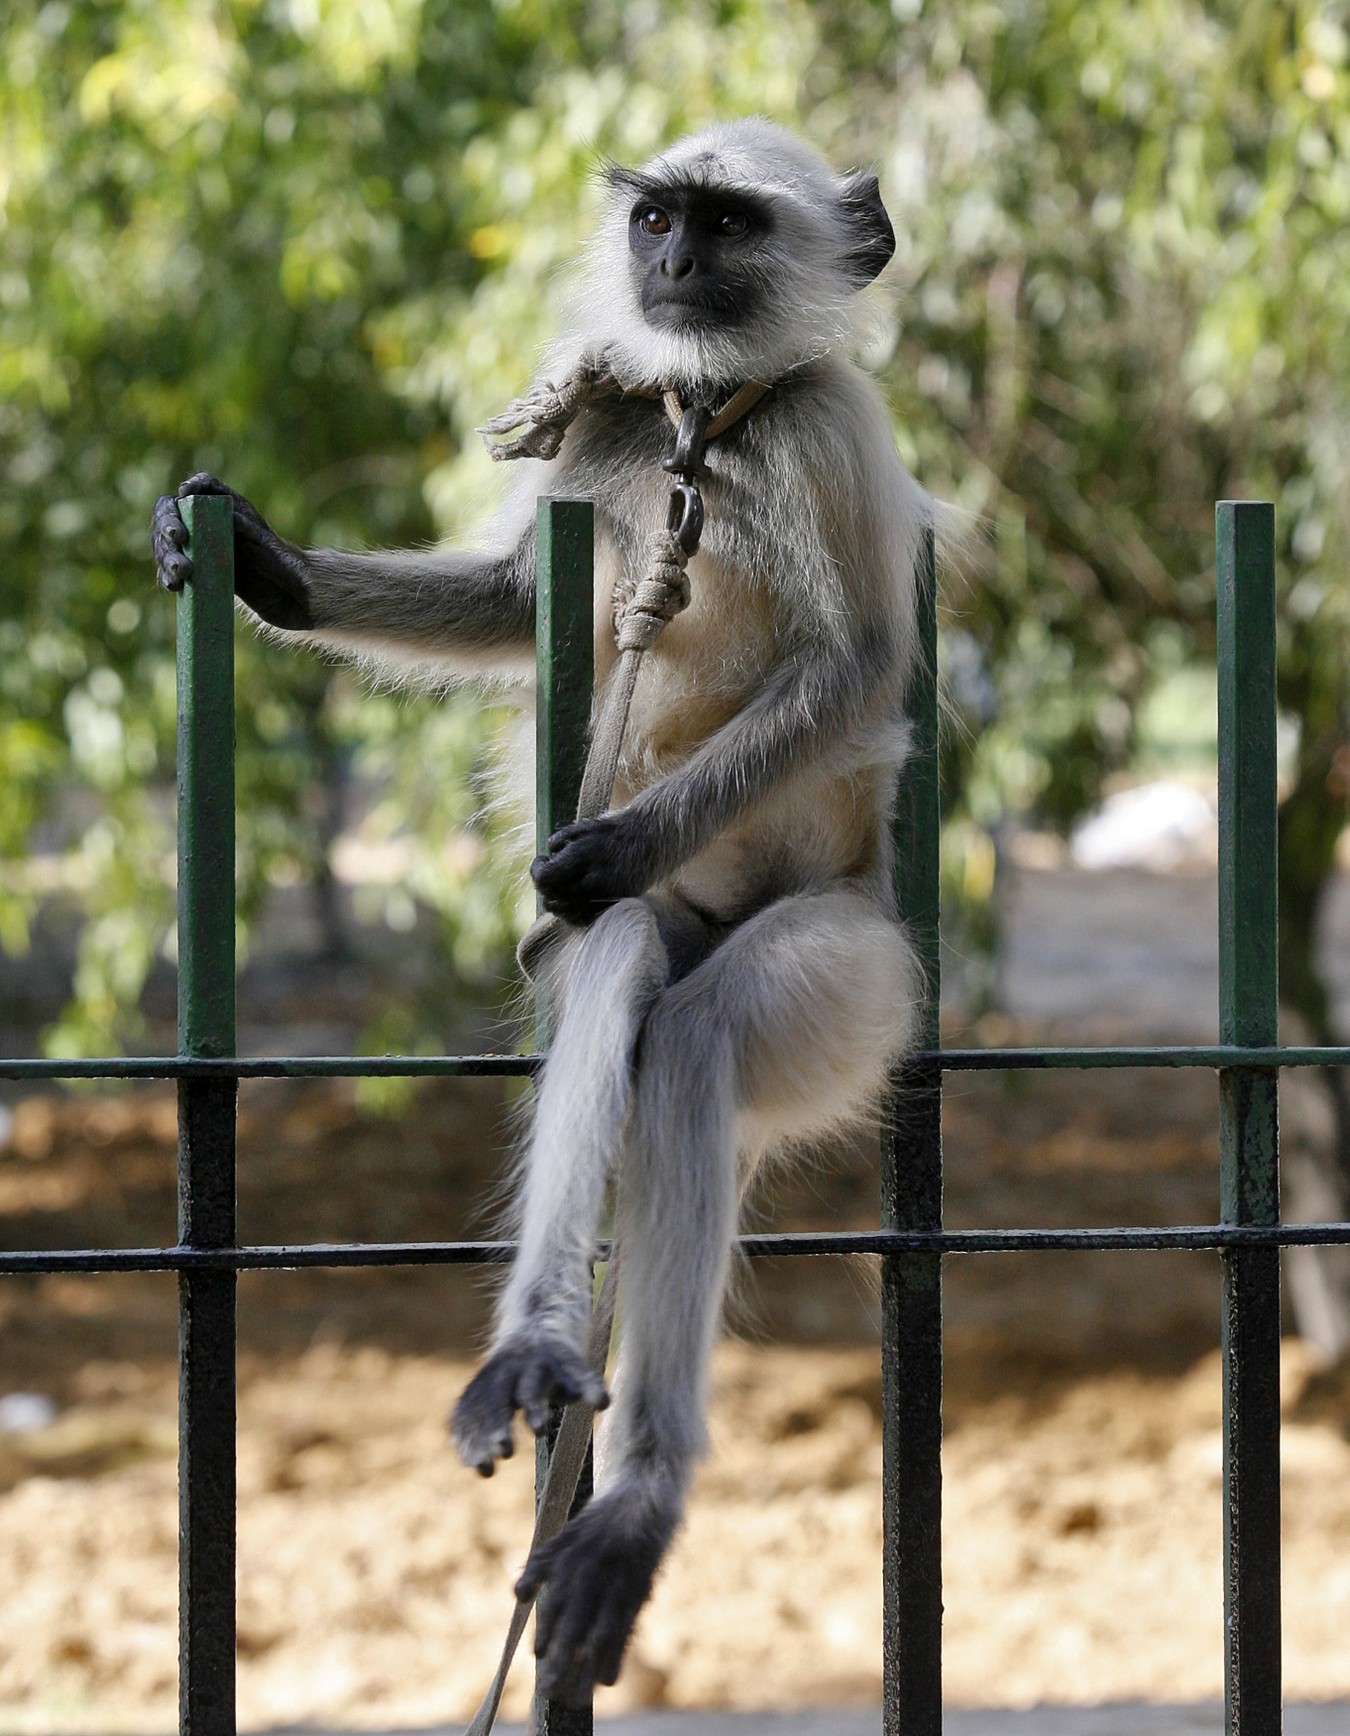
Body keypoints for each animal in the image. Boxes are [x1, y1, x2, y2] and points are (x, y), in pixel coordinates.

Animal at [152, 117, 930, 1705]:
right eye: (656, 218)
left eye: (726, 224)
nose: (672, 262)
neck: (707, 428)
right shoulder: (609, 439)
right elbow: (521, 603)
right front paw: (266, 566)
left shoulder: (824, 421)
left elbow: (857, 664)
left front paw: (602, 845)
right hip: (653, 948)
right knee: (621, 969)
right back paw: (532, 1353)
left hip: (856, 968)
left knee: (697, 1038)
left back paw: (634, 1495)